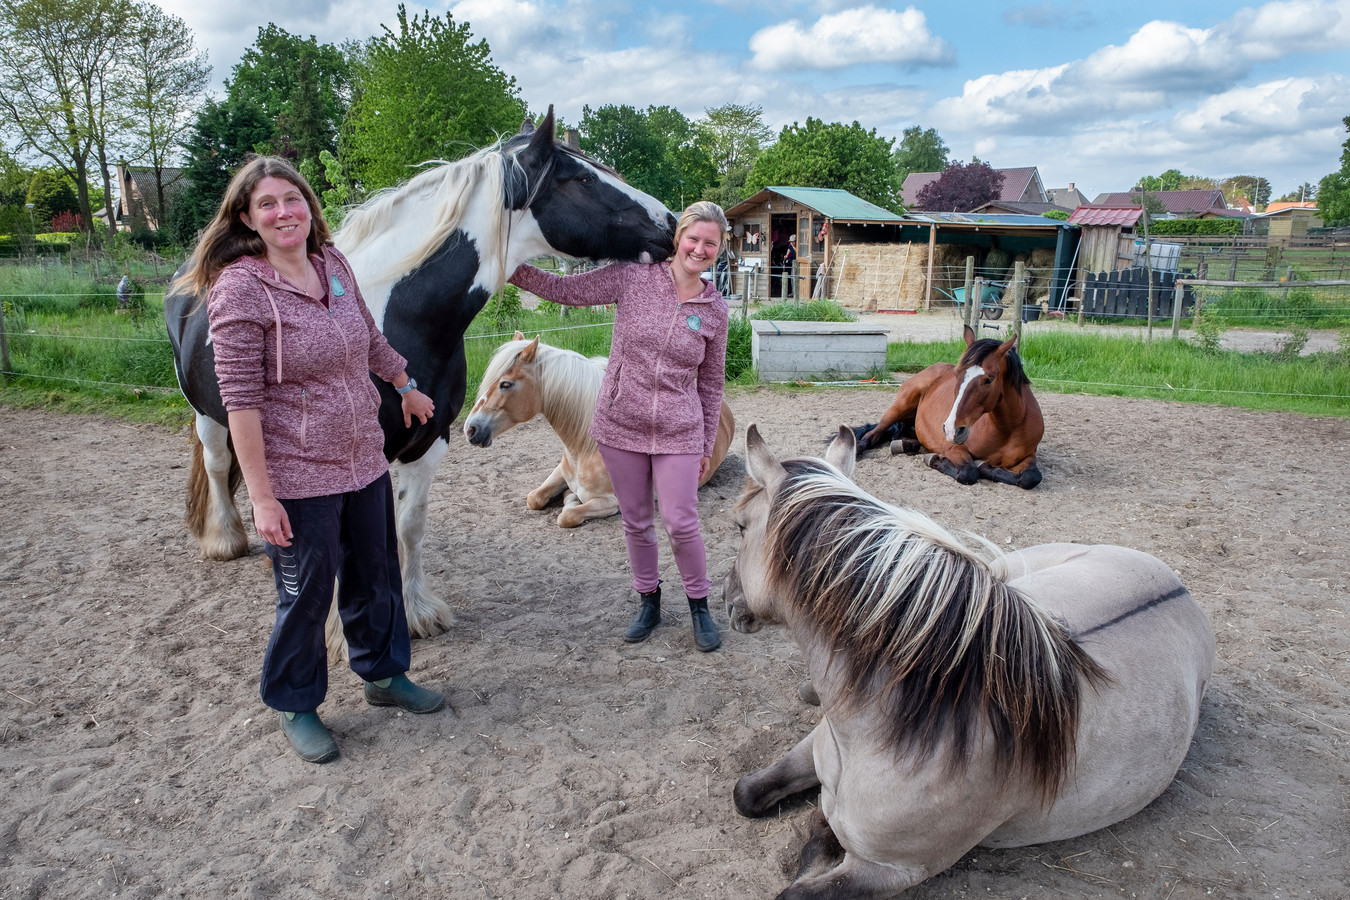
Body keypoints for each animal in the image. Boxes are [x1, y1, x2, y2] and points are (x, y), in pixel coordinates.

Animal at [164, 107, 678, 643]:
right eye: (581, 178)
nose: (671, 224)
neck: (401, 320)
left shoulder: (430, 441)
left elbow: (409, 526)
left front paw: (414, 612)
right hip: (208, 413)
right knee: (219, 464)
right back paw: (227, 539)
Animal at [462, 332, 735, 527]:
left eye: (505, 384)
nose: (470, 429)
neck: (585, 448)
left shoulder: (611, 502)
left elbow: (567, 516)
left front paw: (569, 502)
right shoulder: (560, 472)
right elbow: (535, 498)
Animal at [724, 423, 1215, 899]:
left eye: (740, 527)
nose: (729, 602)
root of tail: (1177, 585)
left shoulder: (891, 870)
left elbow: (801, 877)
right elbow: (748, 794)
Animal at [856, 324, 1044, 488]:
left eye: (988, 380)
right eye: (957, 374)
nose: (952, 430)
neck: (1008, 428)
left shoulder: (1028, 456)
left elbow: (1031, 477)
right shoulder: (954, 448)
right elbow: (969, 473)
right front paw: (936, 460)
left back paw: (906, 445)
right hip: (900, 407)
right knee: (872, 436)